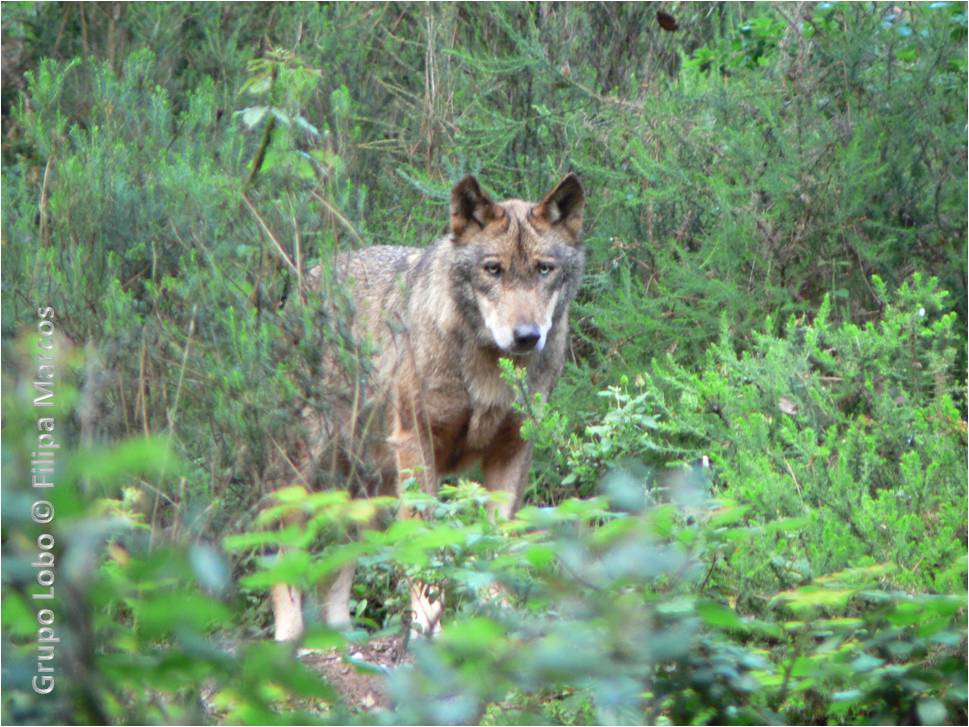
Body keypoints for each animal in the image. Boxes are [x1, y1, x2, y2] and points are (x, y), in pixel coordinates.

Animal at [271, 173, 585, 641]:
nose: (527, 336)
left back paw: (343, 637)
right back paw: (289, 637)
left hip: (369, 491)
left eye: (544, 269)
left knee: (336, 571)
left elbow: (497, 544)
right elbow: (425, 543)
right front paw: (425, 627)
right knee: (280, 552)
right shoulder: (418, 442)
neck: (488, 370)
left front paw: (500, 620)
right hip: (308, 471)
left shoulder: (513, 449)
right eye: (493, 269)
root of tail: (305, 280)